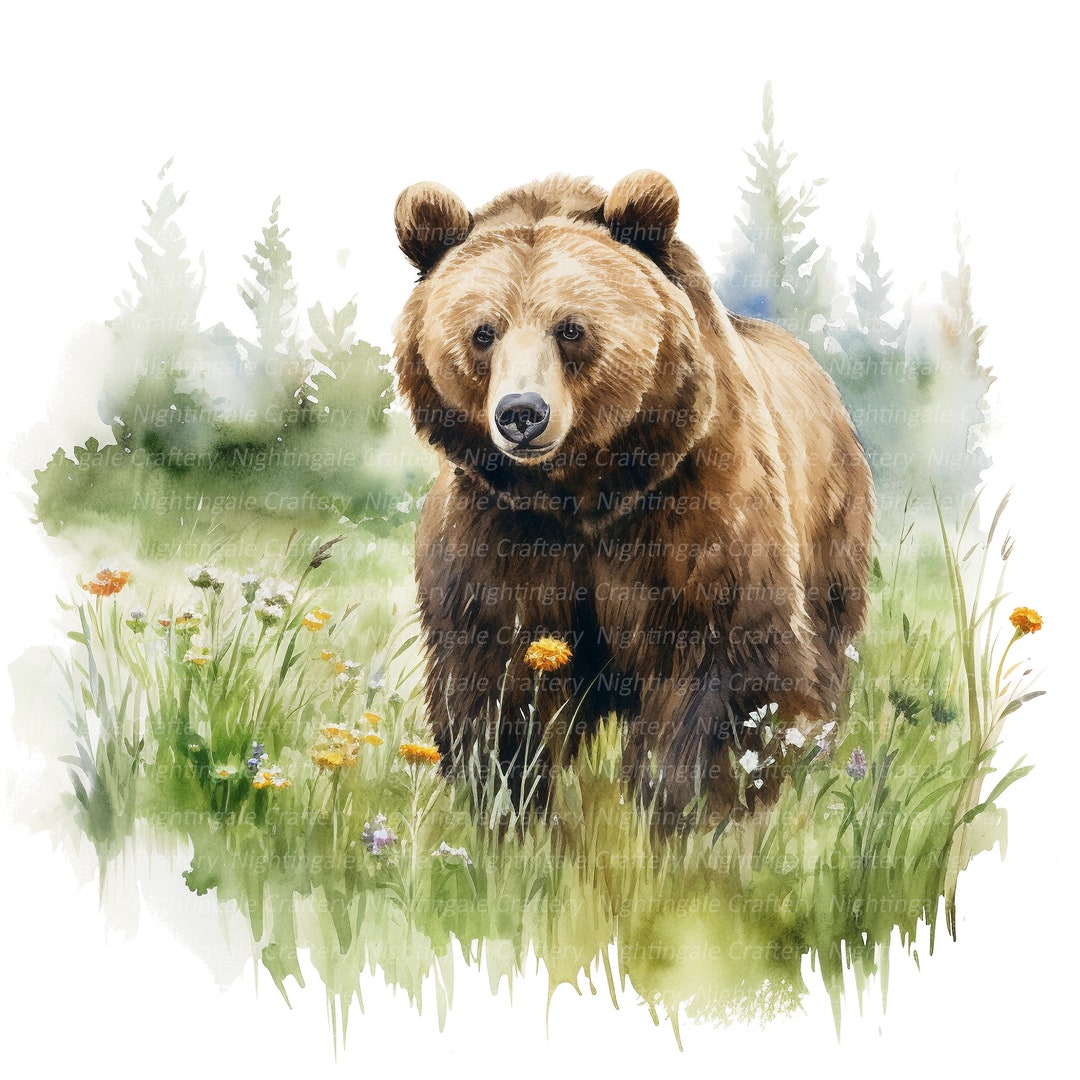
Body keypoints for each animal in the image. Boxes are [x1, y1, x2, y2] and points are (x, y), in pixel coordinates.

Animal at [392, 171, 873, 830]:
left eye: (571, 327)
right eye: (483, 333)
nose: (521, 413)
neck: (581, 491)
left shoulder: (690, 503)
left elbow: (718, 661)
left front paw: (688, 810)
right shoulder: (503, 525)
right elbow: (495, 667)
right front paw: (511, 806)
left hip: (828, 516)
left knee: (826, 639)